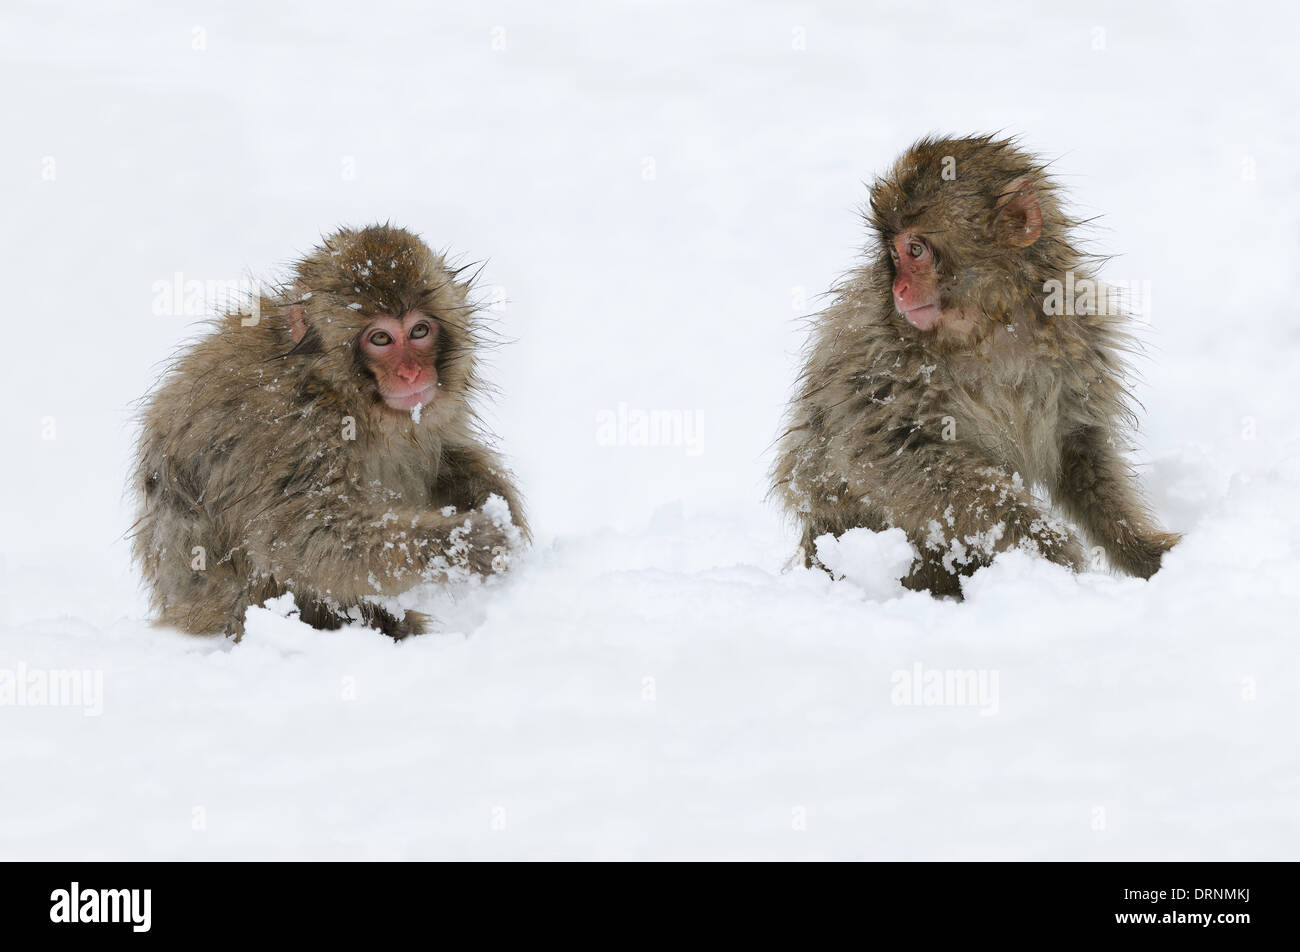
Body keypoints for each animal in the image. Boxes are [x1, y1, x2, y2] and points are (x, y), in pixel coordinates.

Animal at [132, 224, 527, 639]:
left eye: (420, 330)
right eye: (381, 338)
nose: (412, 373)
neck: (331, 389)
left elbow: (444, 457)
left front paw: (493, 498)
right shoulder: (289, 430)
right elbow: (304, 538)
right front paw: (469, 543)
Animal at [772, 135, 1180, 597]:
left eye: (915, 250)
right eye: (893, 254)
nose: (899, 289)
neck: (991, 331)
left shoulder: (1081, 342)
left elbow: (1081, 449)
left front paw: (1142, 551)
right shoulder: (880, 358)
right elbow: (884, 456)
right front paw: (1050, 546)